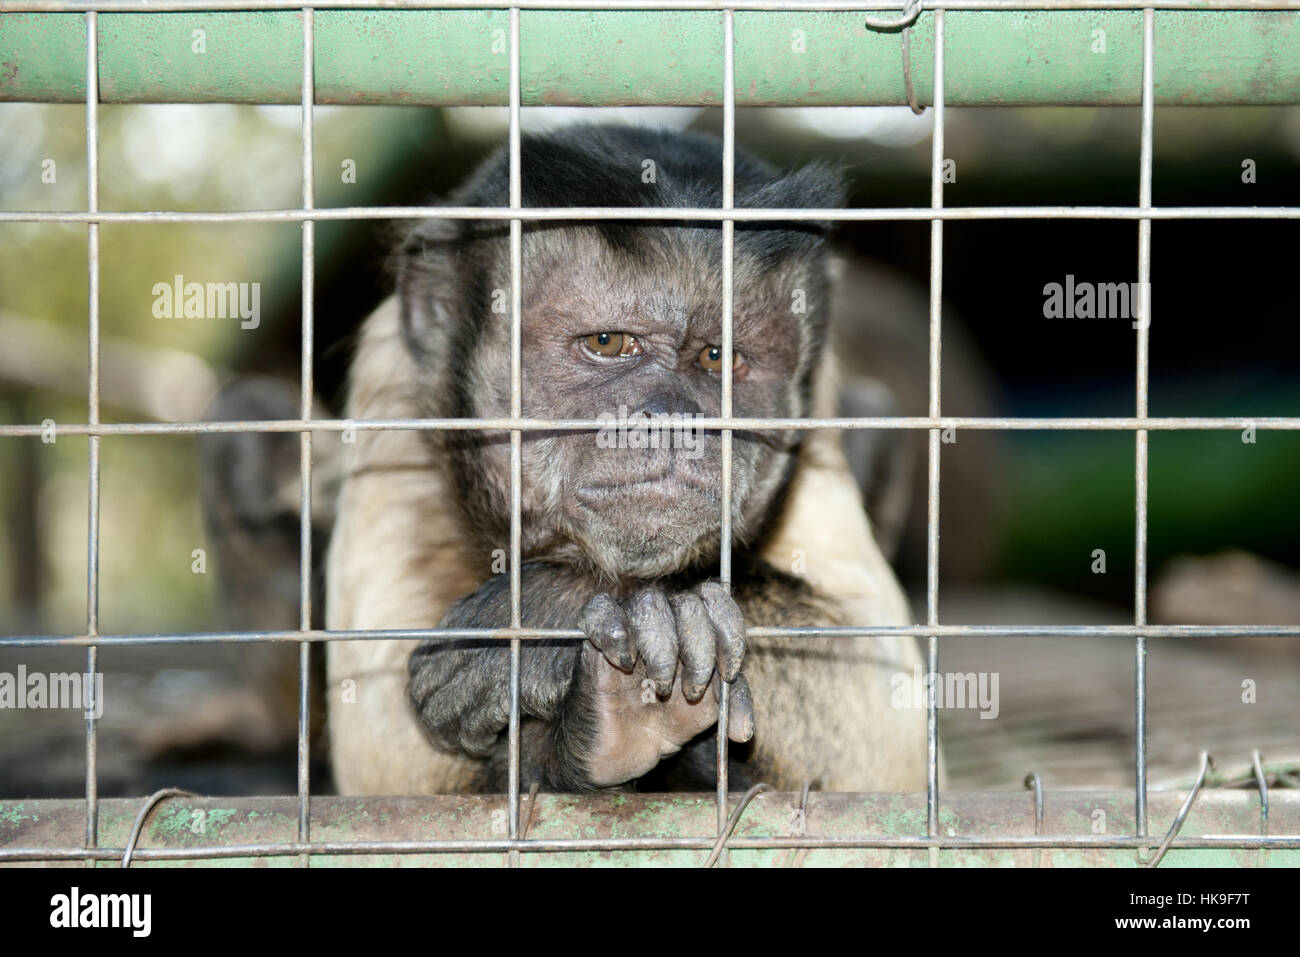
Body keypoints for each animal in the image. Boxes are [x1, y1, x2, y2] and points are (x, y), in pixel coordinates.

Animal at [324, 124, 929, 794]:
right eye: (608, 342)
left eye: (719, 356)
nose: (673, 420)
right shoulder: (387, 385)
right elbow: (393, 778)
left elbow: (883, 727)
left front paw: (551, 609)